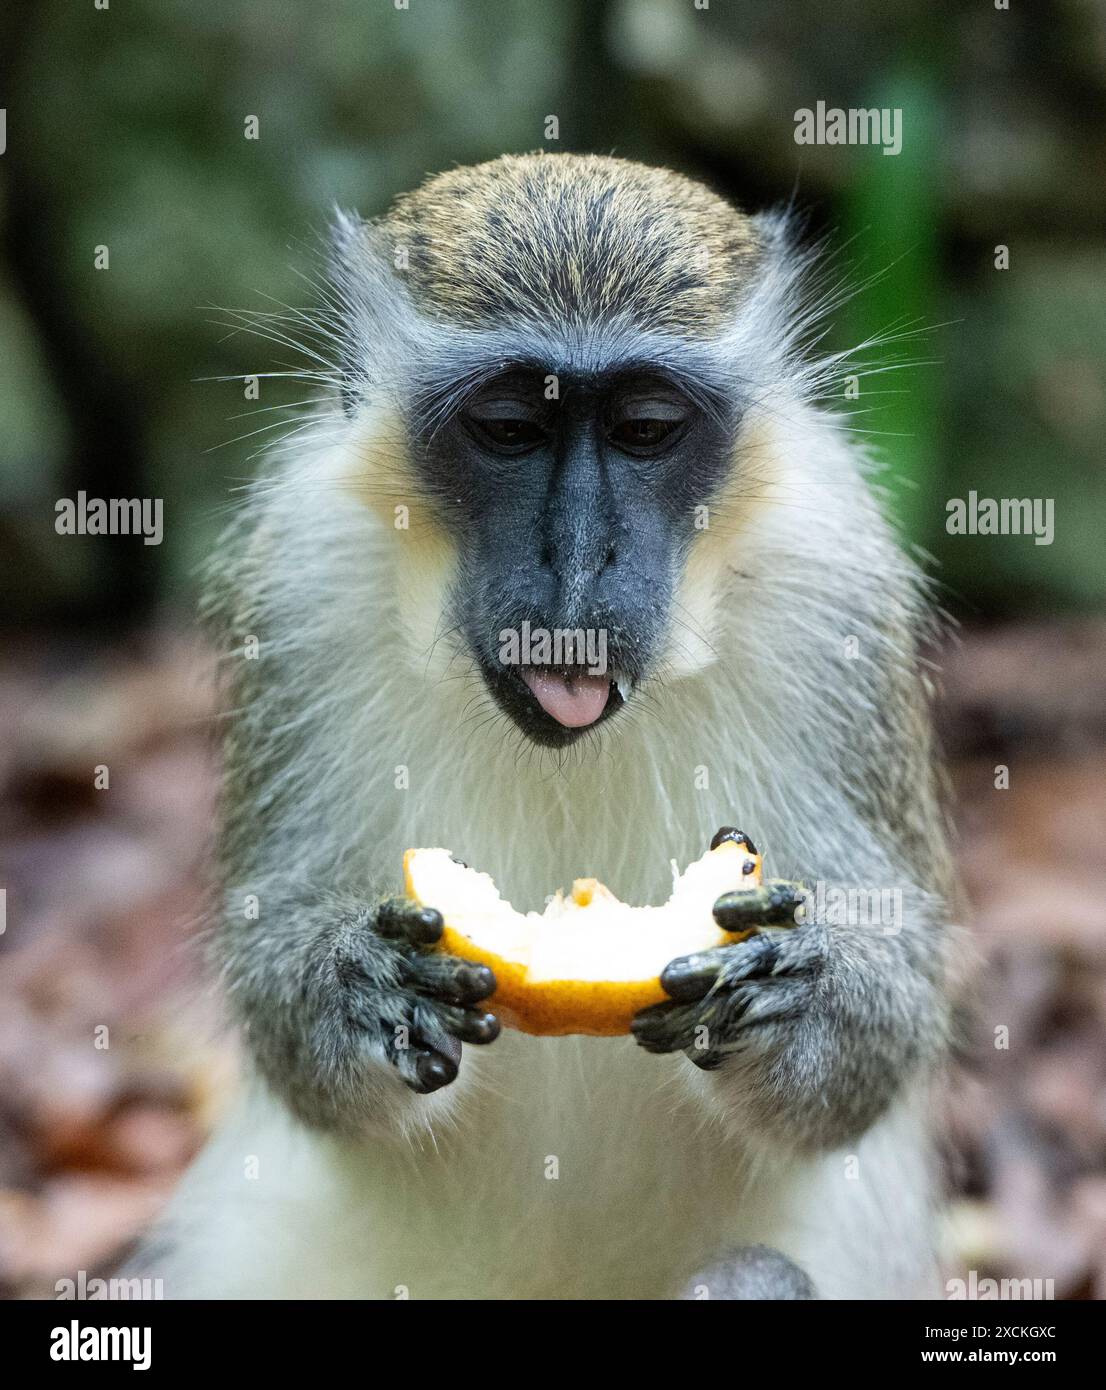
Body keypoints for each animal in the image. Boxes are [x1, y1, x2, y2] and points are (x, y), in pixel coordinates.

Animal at [134, 152, 957, 1299]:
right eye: (510, 429)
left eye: (645, 429)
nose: (575, 562)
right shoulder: (299, 573)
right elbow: (273, 947)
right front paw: (356, 988)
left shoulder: (838, 585)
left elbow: (893, 998)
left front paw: (801, 995)